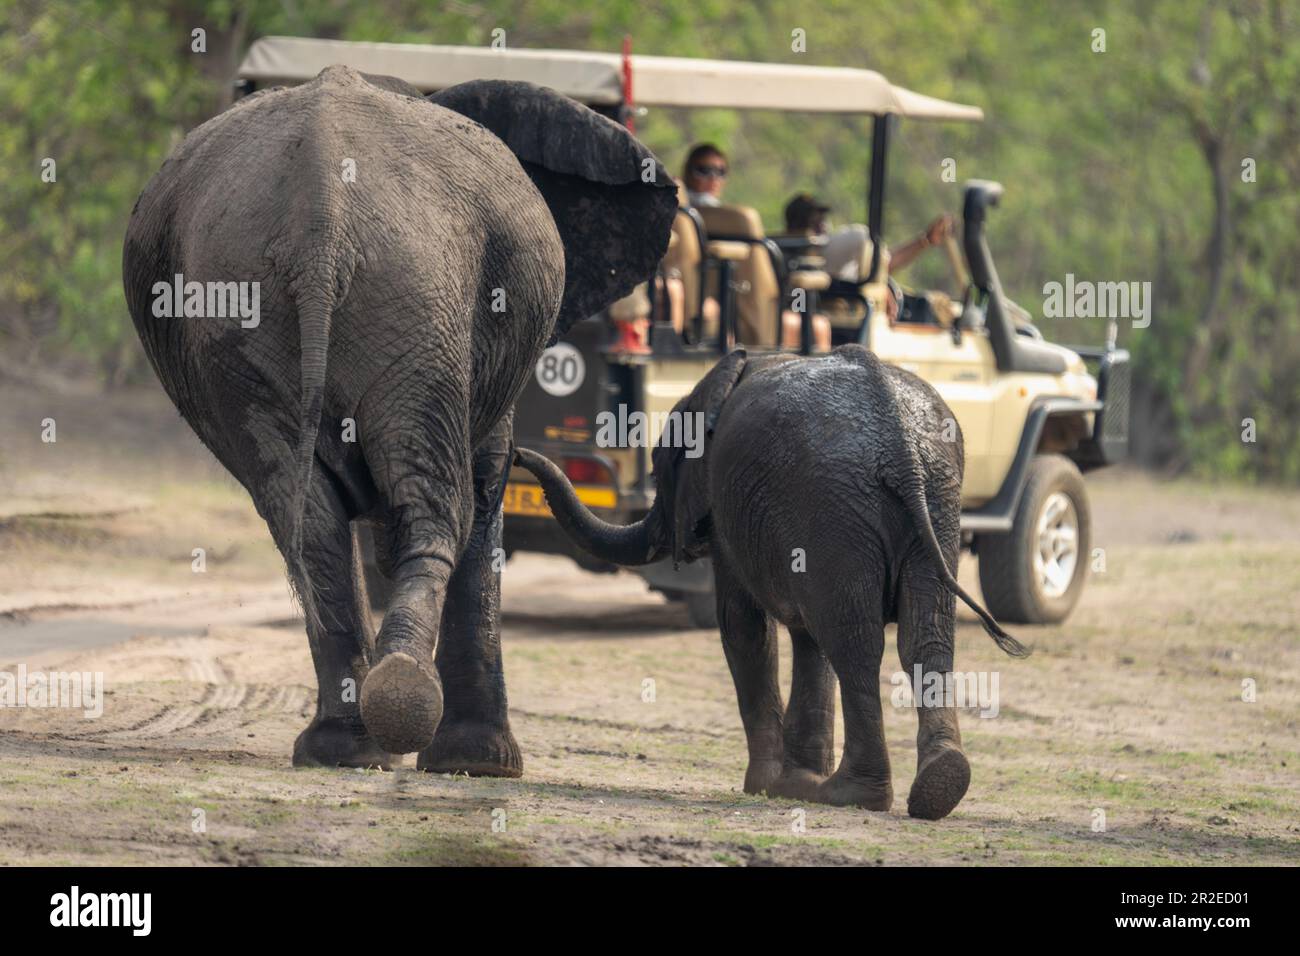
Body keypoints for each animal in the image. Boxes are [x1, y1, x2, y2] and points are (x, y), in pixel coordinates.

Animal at [122, 65, 677, 772]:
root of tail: (319, 213)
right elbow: (487, 482)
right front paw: (482, 762)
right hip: (416, 295)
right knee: (437, 508)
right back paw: (403, 704)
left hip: (243, 307)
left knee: (308, 519)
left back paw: (344, 746)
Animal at [514, 344, 1029, 819]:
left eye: (659, 464)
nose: (517, 453)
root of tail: (902, 446)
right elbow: (807, 640)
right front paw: (793, 782)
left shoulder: (731, 513)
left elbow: (745, 627)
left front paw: (764, 786)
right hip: (931, 503)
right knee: (923, 637)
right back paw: (938, 786)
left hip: (839, 506)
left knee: (856, 645)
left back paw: (850, 795)